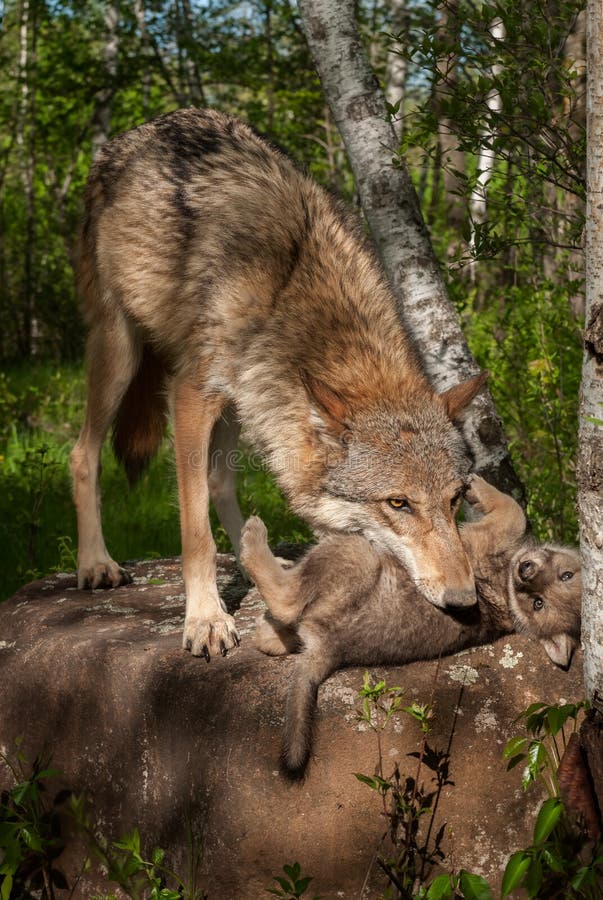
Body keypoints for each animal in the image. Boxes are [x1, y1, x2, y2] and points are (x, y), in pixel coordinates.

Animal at [71, 107, 488, 661]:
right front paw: (205, 619)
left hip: (241, 402)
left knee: (220, 480)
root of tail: (130, 135)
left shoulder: (249, 393)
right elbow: (195, 533)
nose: (465, 599)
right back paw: (96, 563)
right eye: (398, 503)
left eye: (456, 499)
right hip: (121, 353)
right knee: (84, 454)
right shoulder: (190, 394)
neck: (292, 298)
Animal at [240, 476, 582, 779]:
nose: (525, 570)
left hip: (352, 551)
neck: (507, 589)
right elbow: (515, 508)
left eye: (538, 603)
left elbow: (514, 509)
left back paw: (254, 537)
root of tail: (330, 650)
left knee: (286, 600)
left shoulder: (487, 534)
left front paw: (477, 486)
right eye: (565, 576)